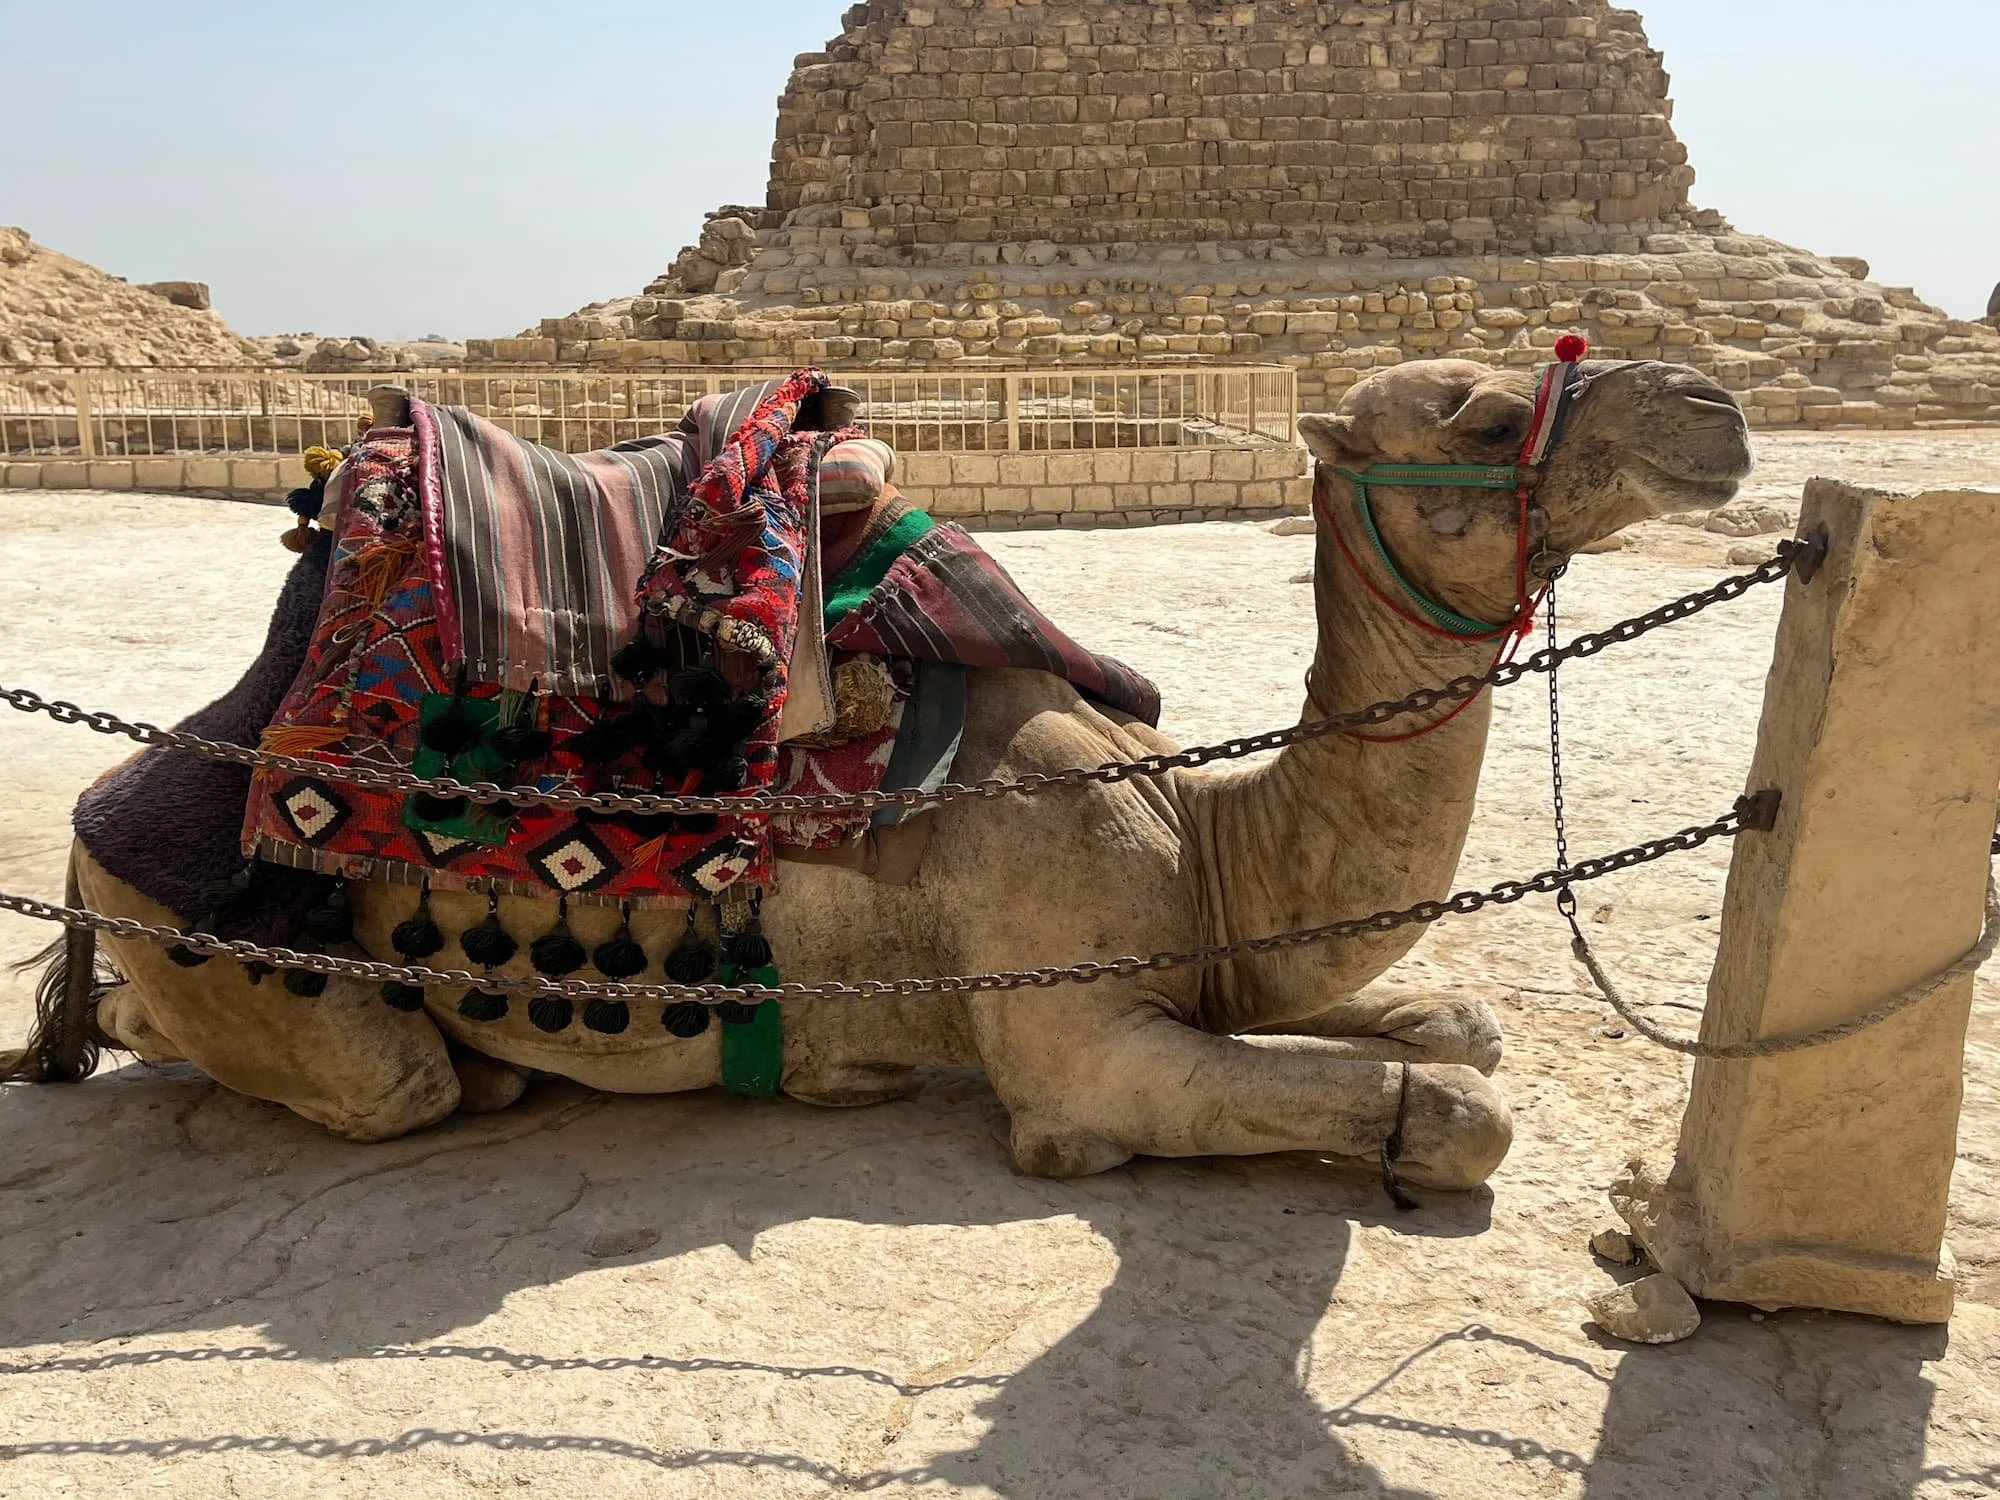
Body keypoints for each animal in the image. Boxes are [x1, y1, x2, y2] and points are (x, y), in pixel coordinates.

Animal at [29, 357, 1752, 1189]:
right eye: (1483, 410)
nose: (1713, 408)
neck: (1203, 826)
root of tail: (94, 826)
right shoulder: (1077, 1033)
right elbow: (1452, 1112)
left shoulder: (1205, 960)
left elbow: (1456, 1026)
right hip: (230, 940)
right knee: (379, 1076)